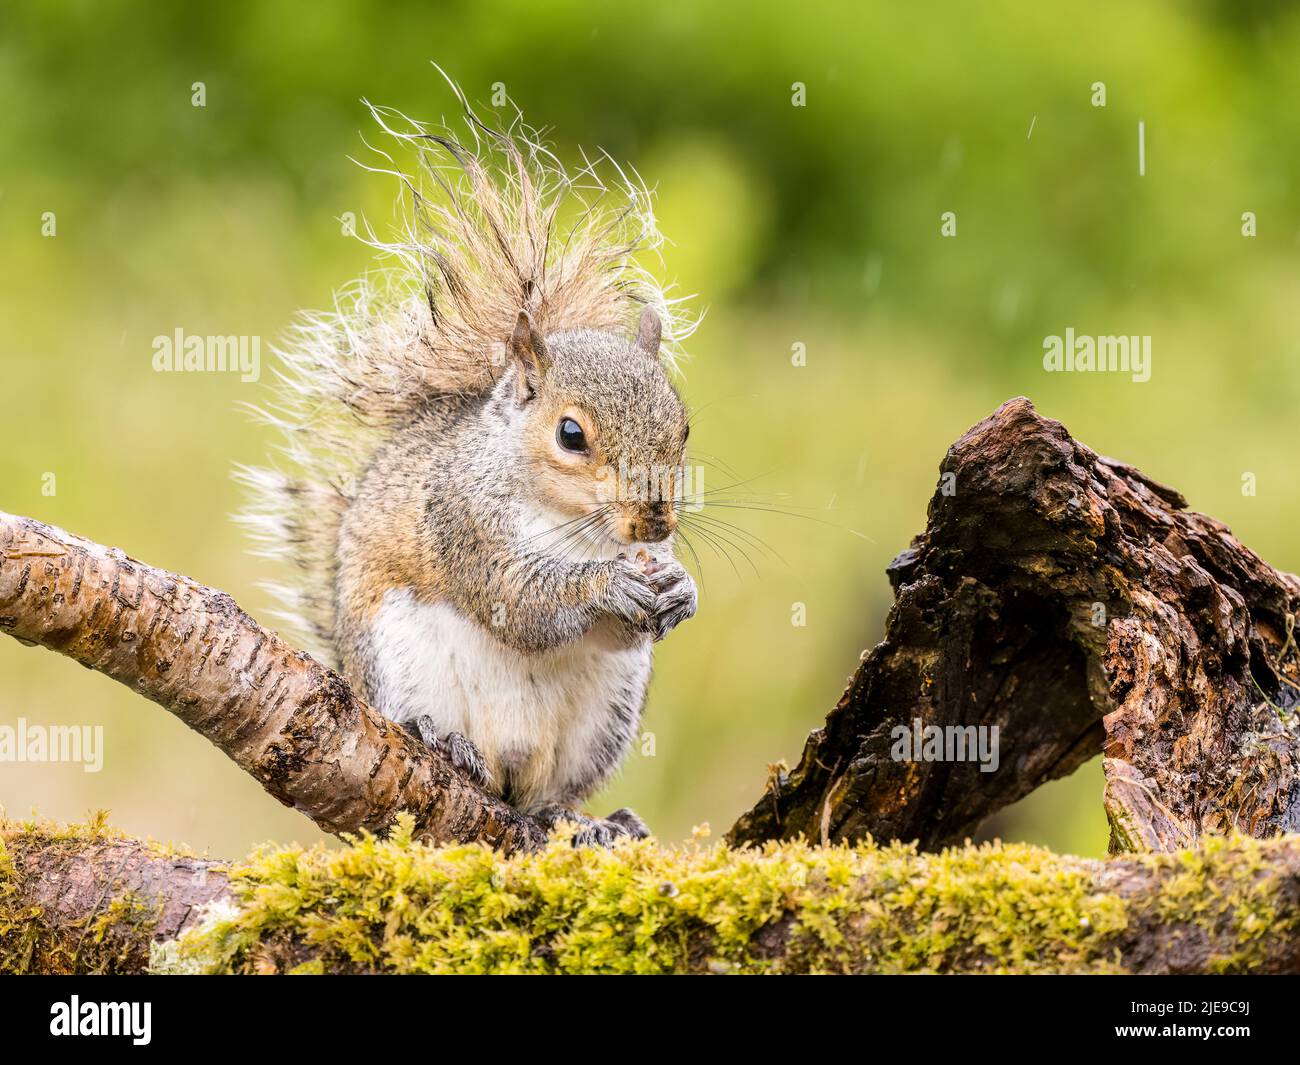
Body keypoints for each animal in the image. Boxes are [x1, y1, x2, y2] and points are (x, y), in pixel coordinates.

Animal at [236, 93, 699, 845]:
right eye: (571, 434)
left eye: (683, 426)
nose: (655, 520)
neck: (572, 524)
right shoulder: (463, 519)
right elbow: (520, 599)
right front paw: (605, 585)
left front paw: (681, 588)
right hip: (399, 660)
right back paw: (442, 740)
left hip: (605, 716)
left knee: (546, 797)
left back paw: (583, 819)